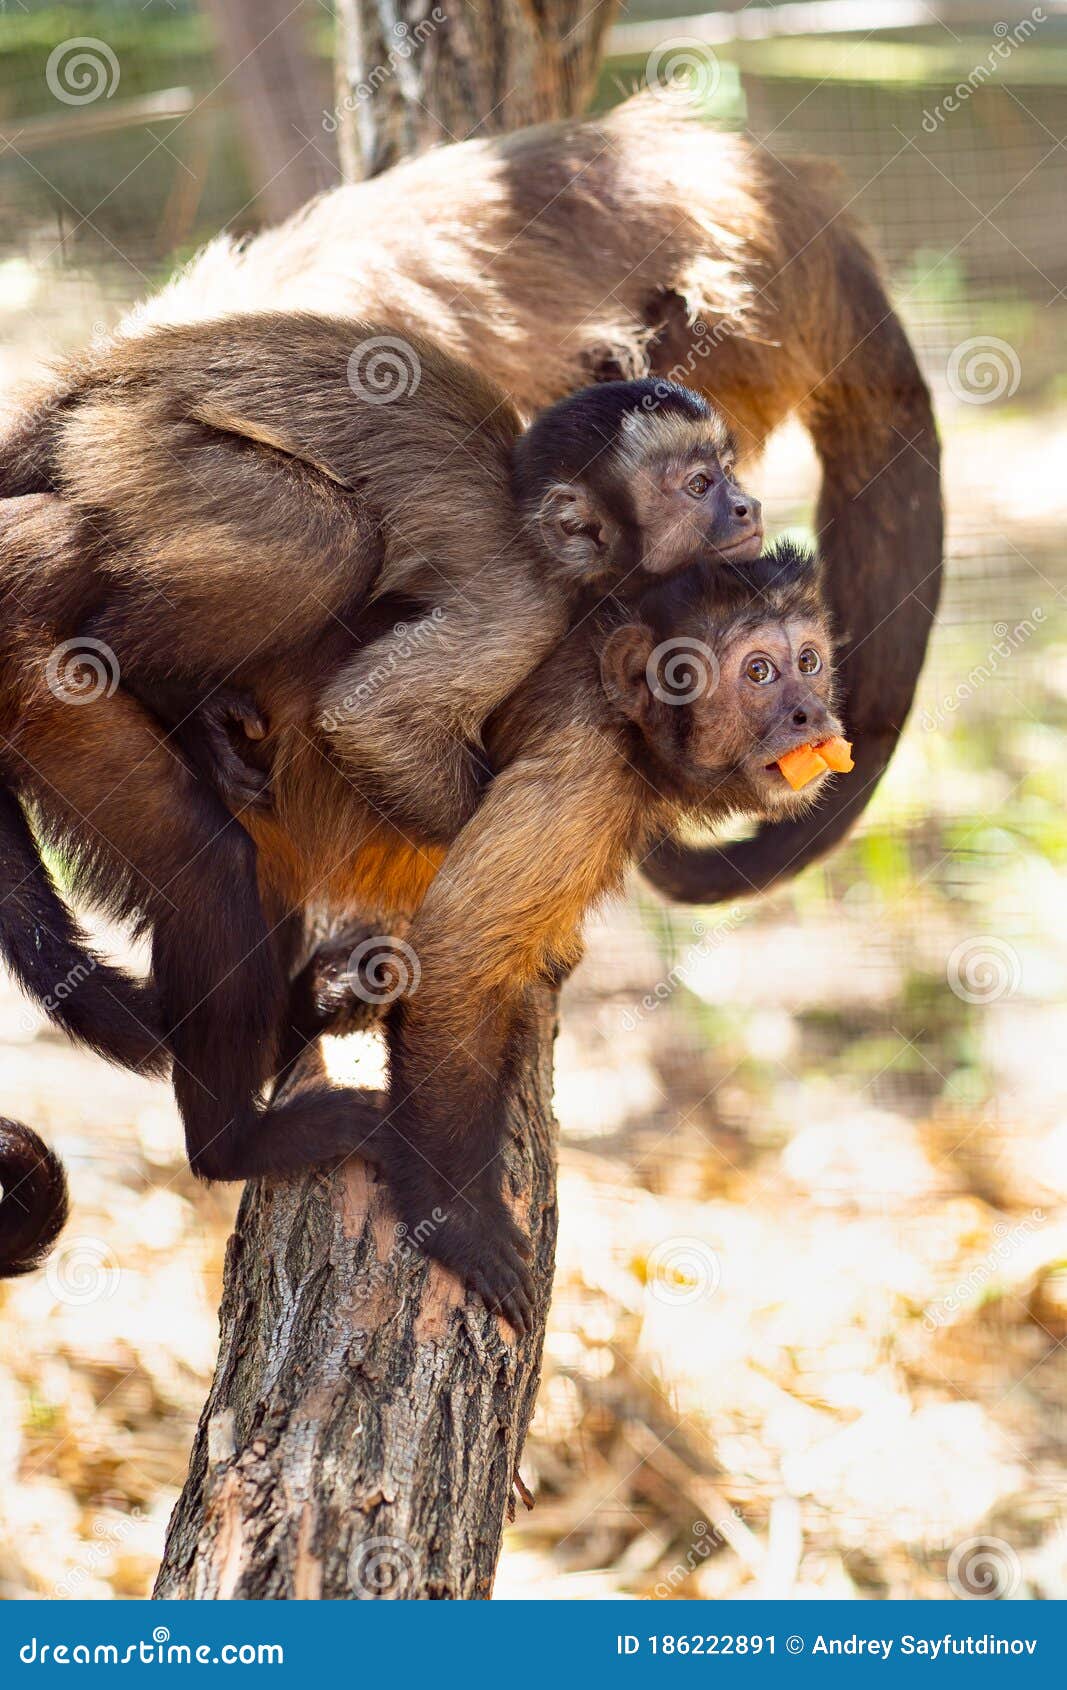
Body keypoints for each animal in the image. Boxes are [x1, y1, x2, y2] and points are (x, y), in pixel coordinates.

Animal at [0, 527, 843, 1329]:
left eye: (807, 661)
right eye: (758, 673)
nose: (811, 714)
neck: (631, 725)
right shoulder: (582, 774)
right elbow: (457, 957)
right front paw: (456, 1217)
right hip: (50, 680)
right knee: (207, 864)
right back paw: (234, 1142)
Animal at [3, 316, 760, 843]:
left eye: (728, 472)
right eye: (699, 487)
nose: (747, 506)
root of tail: (112, 374)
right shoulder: (524, 605)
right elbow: (368, 719)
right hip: (143, 444)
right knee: (333, 542)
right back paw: (162, 685)